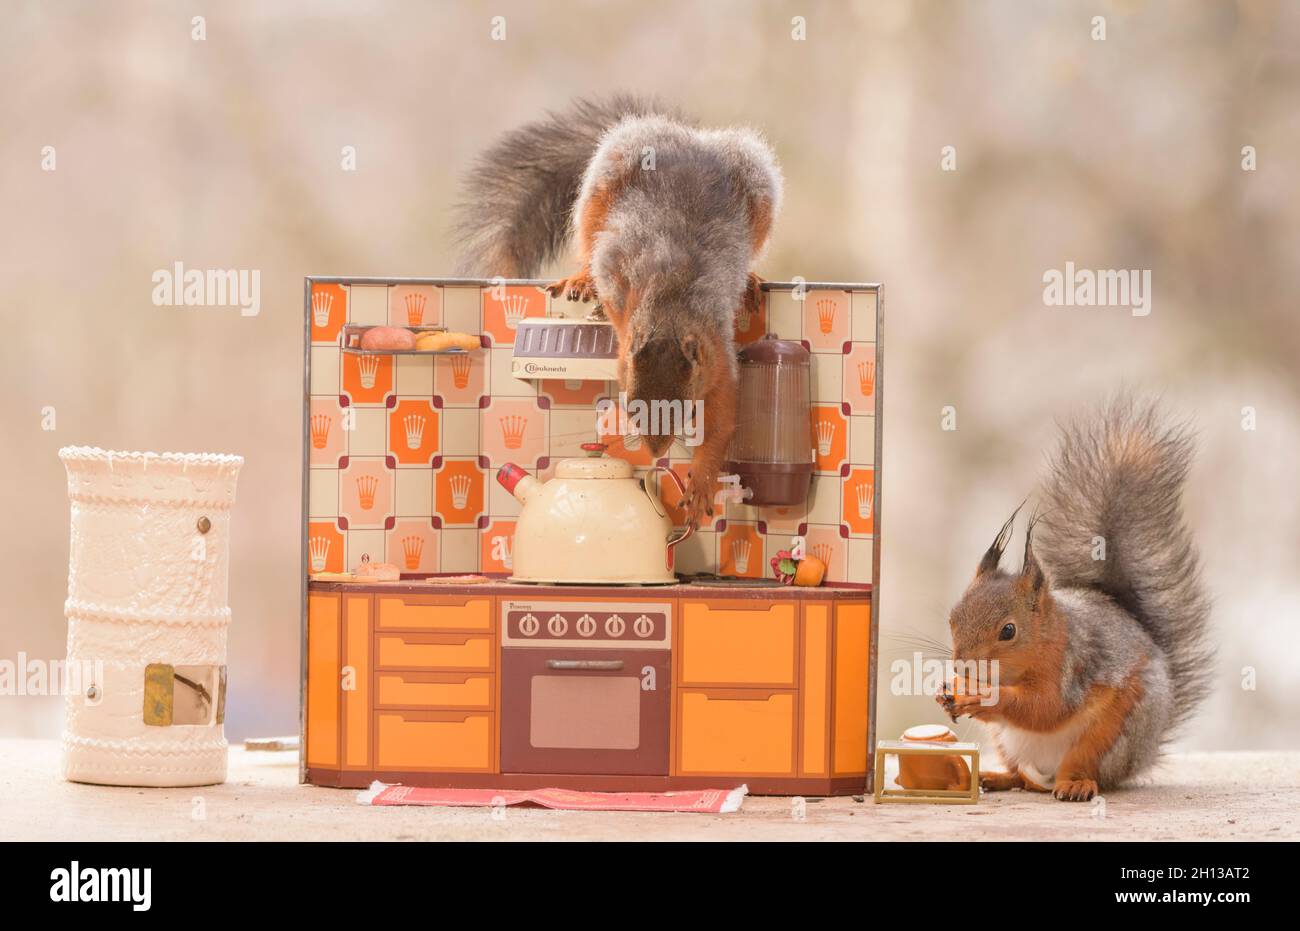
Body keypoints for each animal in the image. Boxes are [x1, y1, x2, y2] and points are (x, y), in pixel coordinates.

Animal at [453, 95, 783, 523]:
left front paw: (701, 481)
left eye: (689, 410)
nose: (656, 453)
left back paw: (751, 279)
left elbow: (724, 417)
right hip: (604, 181)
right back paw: (580, 279)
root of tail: (689, 137)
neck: (669, 307)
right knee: (587, 235)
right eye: (630, 406)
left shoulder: (718, 354)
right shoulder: (618, 277)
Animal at [938, 396, 1212, 801]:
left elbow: (1045, 709)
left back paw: (1076, 785)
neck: (1049, 638)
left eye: (1008, 631)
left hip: (1115, 733)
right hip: (1007, 744)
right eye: (952, 619)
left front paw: (986, 698)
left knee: (1084, 767)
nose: (963, 667)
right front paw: (949, 692)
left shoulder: (1072, 668)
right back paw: (998, 777)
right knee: (1022, 777)